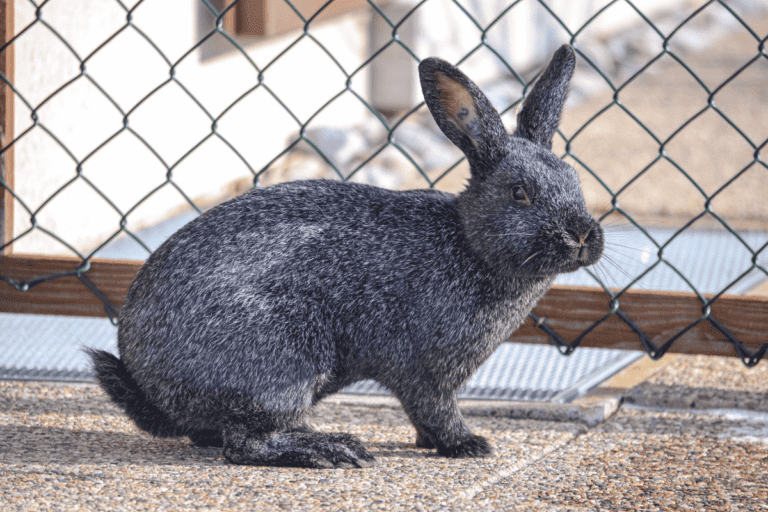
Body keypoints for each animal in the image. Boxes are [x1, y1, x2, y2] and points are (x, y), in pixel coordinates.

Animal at [88, 44, 603, 469]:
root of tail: (147, 381)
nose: (583, 235)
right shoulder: (427, 371)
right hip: (283, 358)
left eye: (574, 183)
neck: (470, 245)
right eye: (520, 193)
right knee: (244, 443)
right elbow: (435, 411)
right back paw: (331, 449)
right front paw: (468, 445)